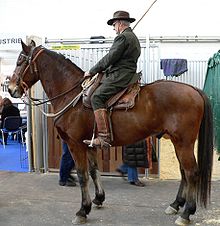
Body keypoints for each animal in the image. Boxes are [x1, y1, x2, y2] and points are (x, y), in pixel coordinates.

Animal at [7, 39, 213, 225]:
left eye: (20, 61)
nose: (10, 88)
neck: (72, 96)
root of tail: (193, 90)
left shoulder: (75, 144)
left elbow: (82, 175)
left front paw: (82, 210)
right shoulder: (88, 144)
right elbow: (94, 170)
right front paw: (98, 199)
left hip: (184, 143)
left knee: (191, 172)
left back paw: (186, 213)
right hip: (178, 142)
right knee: (184, 172)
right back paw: (175, 204)